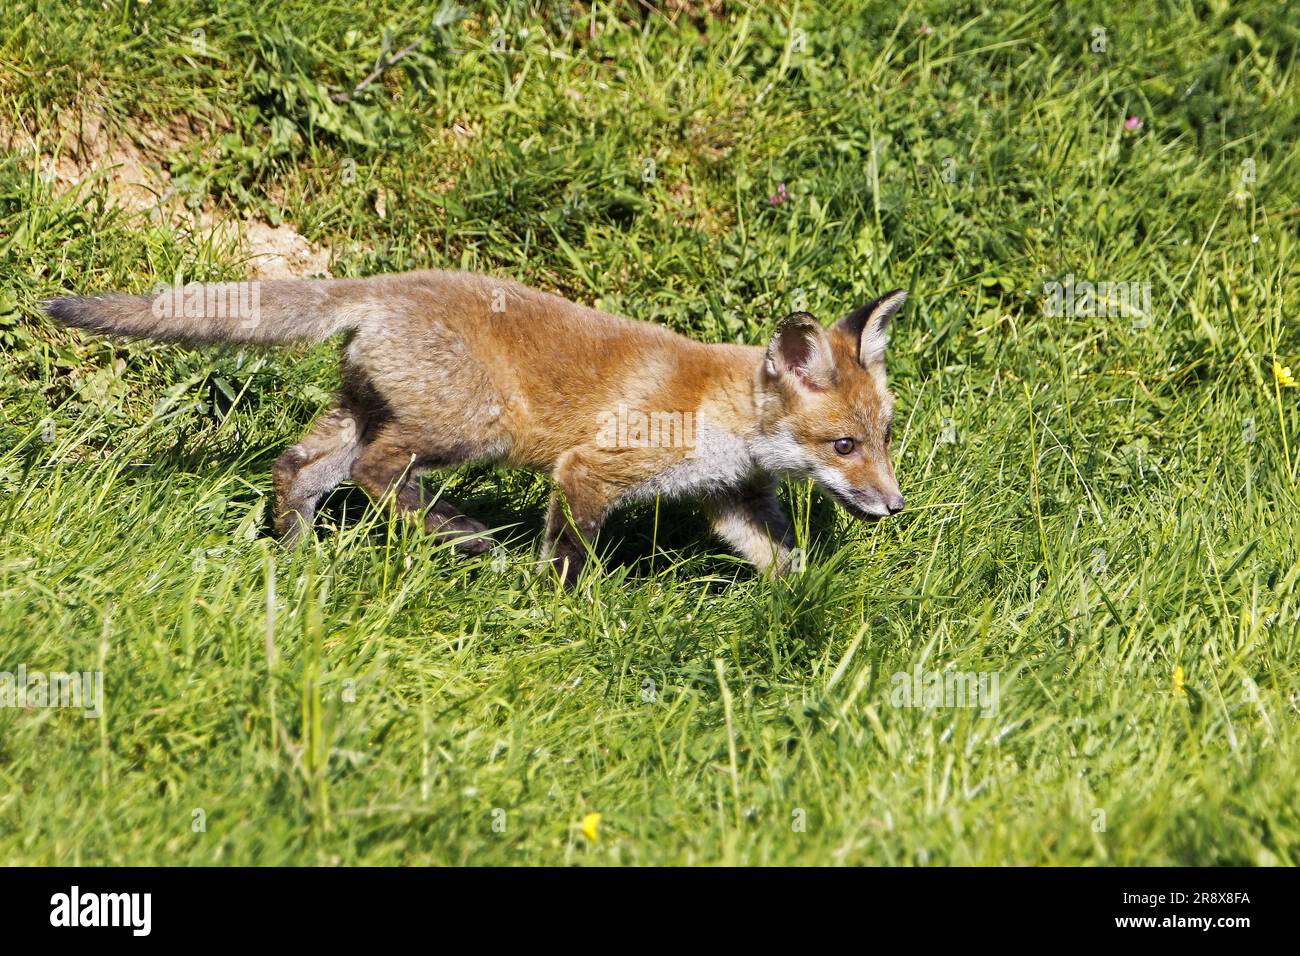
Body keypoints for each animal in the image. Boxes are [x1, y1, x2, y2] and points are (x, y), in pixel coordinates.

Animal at [44, 271, 907, 587]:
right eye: (843, 446)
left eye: (884, 437)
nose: (895, 505)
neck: (720, 415)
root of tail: (381, 285)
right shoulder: (589, 468)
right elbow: (571, 557)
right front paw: (563, 611)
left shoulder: (729, 497)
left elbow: (781, 560)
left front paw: (806, 603)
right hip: (469, 430)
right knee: (377, 472)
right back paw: (464, 536)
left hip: (365, 412)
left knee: (300, 467)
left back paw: (296, 555)